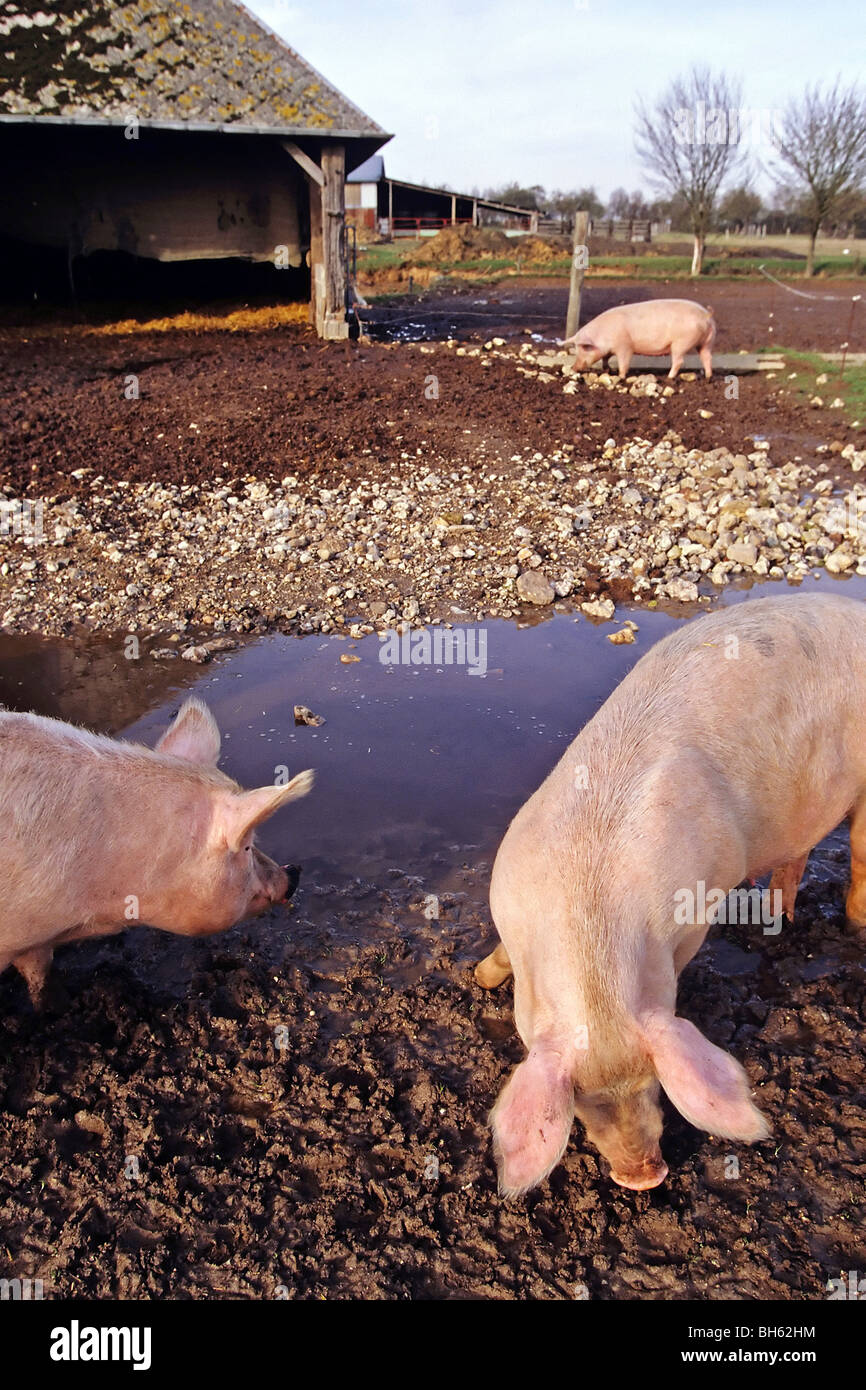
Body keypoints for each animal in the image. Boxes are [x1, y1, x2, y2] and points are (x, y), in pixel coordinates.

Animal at [476, 593, 866, 1193]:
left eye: (654, 1084)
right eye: (581, 1104)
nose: (643, 1177)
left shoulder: (693, 918)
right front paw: (478, 978)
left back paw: (853, 929)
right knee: (793, 861)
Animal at [561, 298, 715, 379]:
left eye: (585, 349)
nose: (574, 367)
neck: (603, 335)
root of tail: (706, 315)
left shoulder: (625, 346)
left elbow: (623, 362)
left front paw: (621, 376)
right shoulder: (610, 350)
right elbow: (605, 358)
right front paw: (607, 369)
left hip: (681, 342)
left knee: (679, 361)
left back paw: (669, 377)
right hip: (707, 341)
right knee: (707, 357)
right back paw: (708, 377)